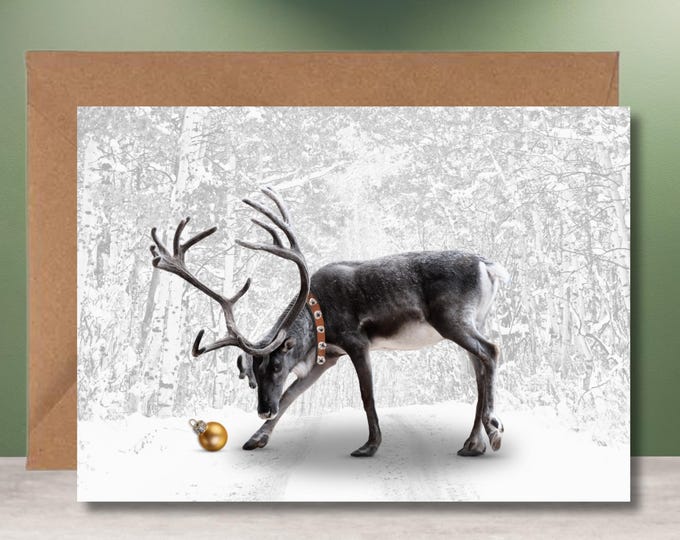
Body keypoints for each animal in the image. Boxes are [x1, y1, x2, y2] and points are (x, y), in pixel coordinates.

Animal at [150, 187, 509, 457]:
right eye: (252, 373)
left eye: (276, 366)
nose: (263, 409)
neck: (316, 315)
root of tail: (488, 266)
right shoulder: (328, 357)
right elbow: (291, 395)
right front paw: (256, 438)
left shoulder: (356, 341)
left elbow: (367, 395)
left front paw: (370, 445)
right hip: (470, 321)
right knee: (479, 368)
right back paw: (473, 443)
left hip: (452, 320)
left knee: (491, 351)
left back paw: (493, 428)